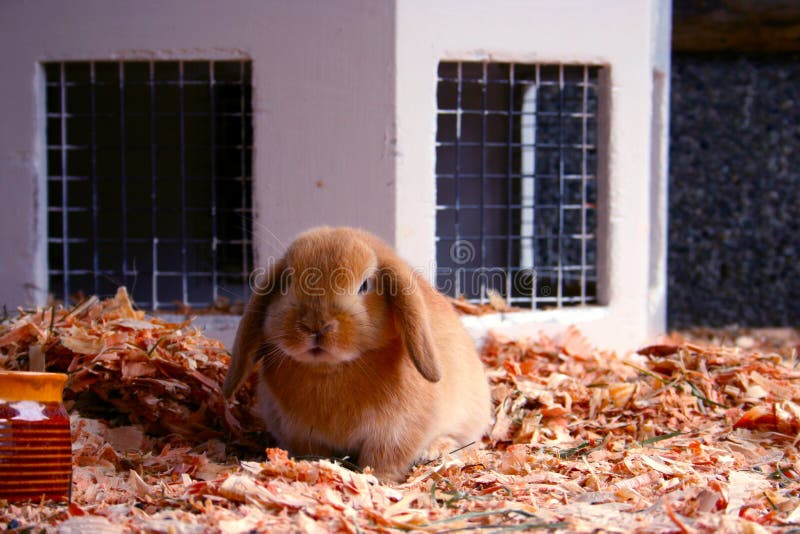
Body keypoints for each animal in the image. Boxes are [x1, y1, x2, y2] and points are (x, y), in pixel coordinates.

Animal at [222, 226, 491, 481]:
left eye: (365, 285)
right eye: (287, 282)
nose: (316, 326)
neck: (331, 370)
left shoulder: (395, 433)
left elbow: (384, 460)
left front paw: (379, 480)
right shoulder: (301, 434)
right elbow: (315, 454)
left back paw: (436, 449)